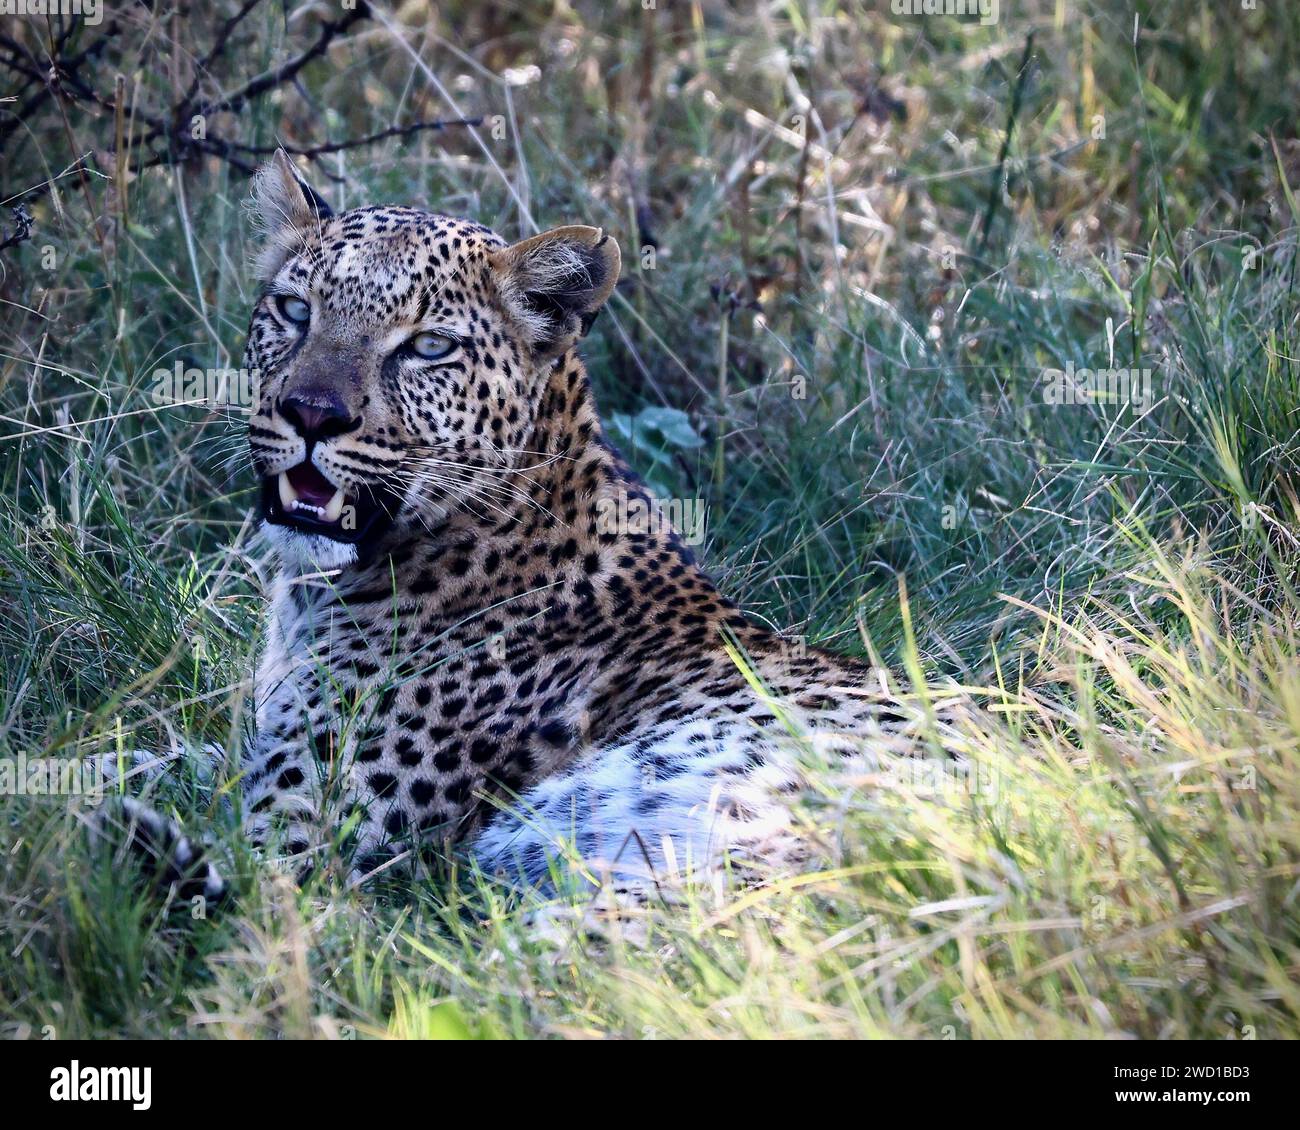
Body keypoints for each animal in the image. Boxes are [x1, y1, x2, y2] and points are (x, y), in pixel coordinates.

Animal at [102, 151, 955, 899]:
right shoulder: (253, 747)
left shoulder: (310, 813)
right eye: (294, 309)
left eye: (429, 347)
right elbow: (140, 752)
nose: (311, 413)